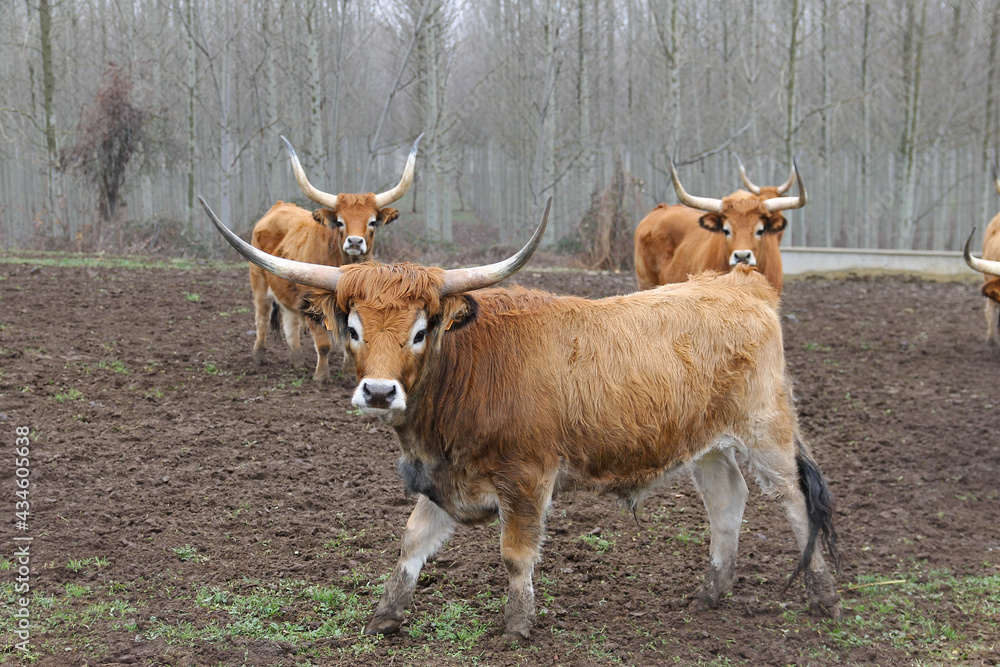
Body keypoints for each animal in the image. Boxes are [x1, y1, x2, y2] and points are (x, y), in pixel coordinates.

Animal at [202, 195, 842, 642]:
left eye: (419, 331)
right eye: (354, 328)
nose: (380, 391)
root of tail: (741, 282)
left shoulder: (528, 478)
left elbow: (515, 555)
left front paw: (516, 625)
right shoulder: (442, 477)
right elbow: (411, 544)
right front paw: (385, 615)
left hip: (766, 433)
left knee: (796, 505)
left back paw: (824, 598)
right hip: (707, 446)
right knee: (726, 504)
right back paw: (711, 592)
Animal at [249, 135, 421, 382]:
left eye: (372, 221)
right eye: (340, 221)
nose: (355, 242)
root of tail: (279, 207)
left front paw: (349, 373)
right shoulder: (312, 306)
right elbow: (323, 344)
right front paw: (321, 376)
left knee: (290, 323)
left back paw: (296, 360)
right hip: (259, 284)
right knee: (262, 319)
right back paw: (258, 357)